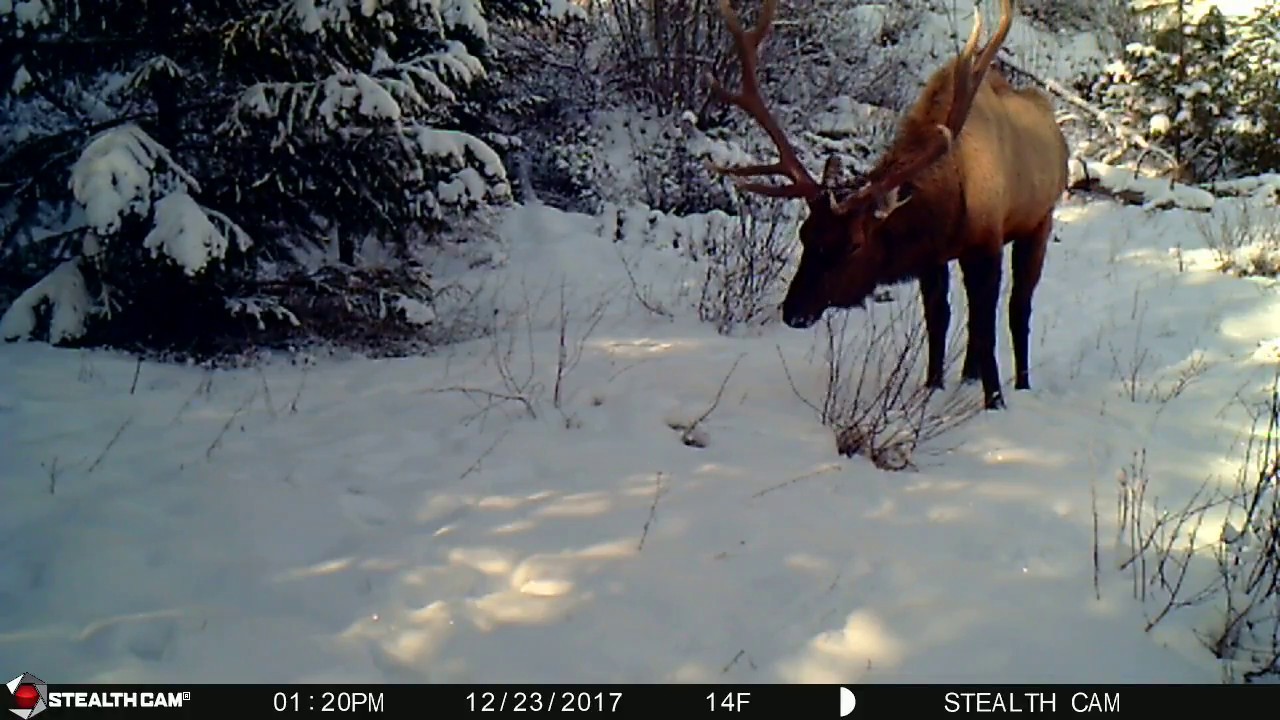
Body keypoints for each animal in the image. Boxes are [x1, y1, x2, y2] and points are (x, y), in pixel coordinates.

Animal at [704, 0, 1069, 411]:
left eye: (854, 244)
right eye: (804, 233)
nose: (794, 312)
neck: (948, 203)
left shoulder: (986, 242)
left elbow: (988, 323)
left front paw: (995, 402)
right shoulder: (934, 256)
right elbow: (939, 319)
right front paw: (933, 386)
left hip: (1039, 220)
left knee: (1018, 307)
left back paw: (1021, 383)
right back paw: (969, 375)